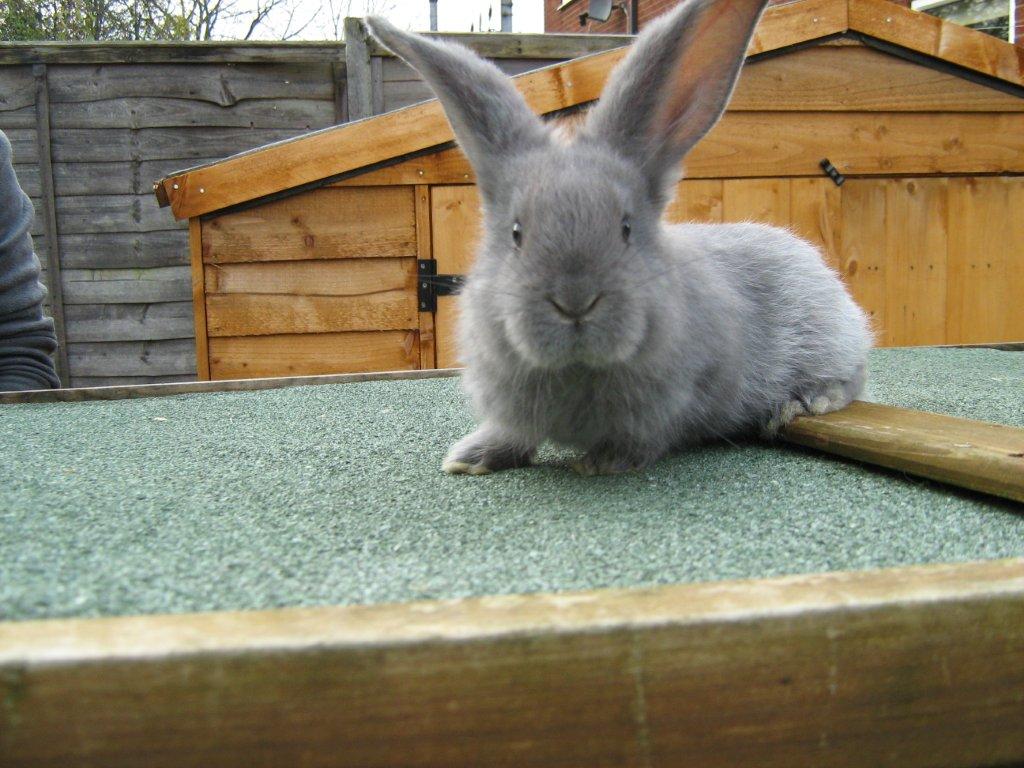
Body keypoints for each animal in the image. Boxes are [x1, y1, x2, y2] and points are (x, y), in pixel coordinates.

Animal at [366, 0, 871, 476]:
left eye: (626, 228)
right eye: (516, 233)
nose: (575, 302)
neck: (577, 367)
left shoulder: (679, 400)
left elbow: (650, 436)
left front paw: (601, 462)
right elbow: (513, 433)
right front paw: (470, 458)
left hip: (829, 340)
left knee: (853, 376)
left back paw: (804, 402)